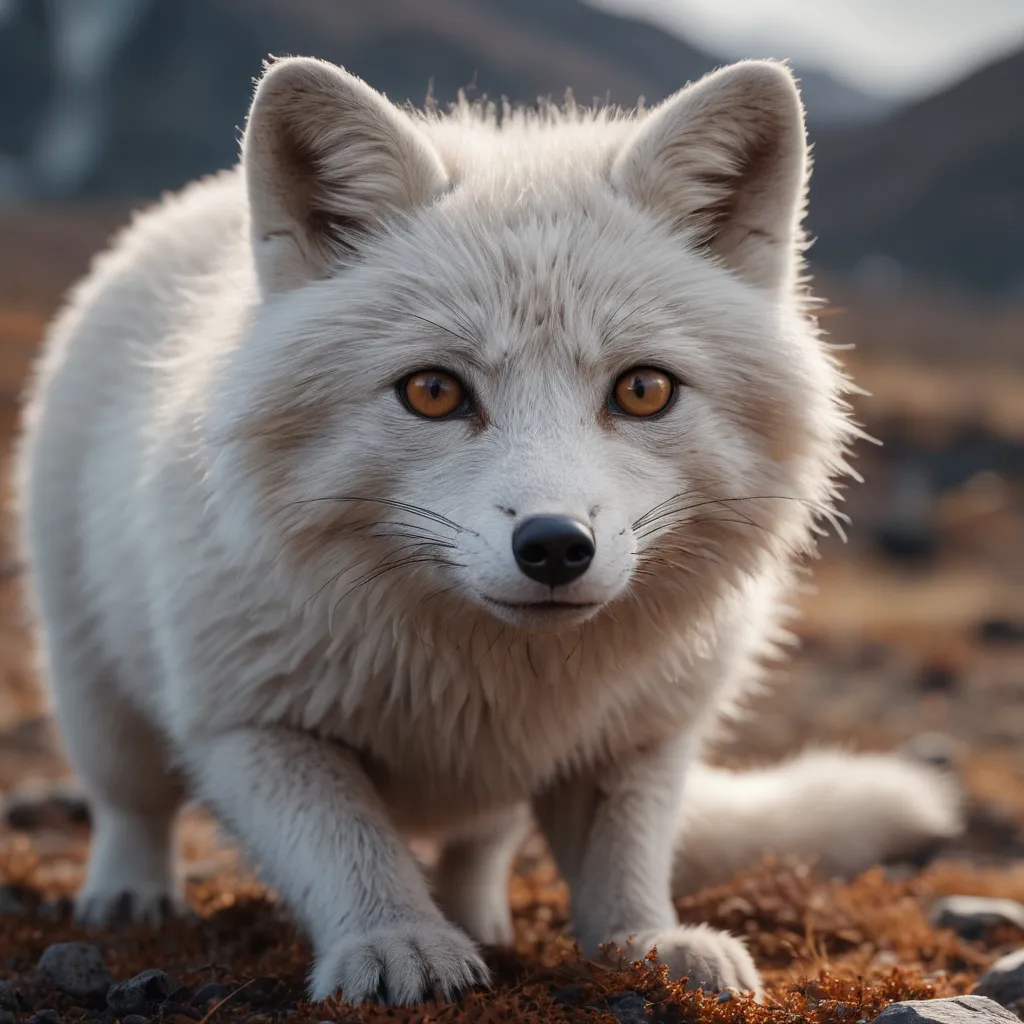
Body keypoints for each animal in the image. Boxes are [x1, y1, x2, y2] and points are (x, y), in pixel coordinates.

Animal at [14, 56, 961, 1005]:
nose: (555, 546)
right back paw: (130, 896)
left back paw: (480, 919)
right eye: (433, 392)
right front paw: (396, 942)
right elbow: (351, 851)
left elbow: (623, 868)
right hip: (99, 700)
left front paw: (648, 947)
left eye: (644, 390)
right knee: (132, 807)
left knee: (479, 846)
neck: (483, 682)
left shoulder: (639, 737)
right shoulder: (253, 726)